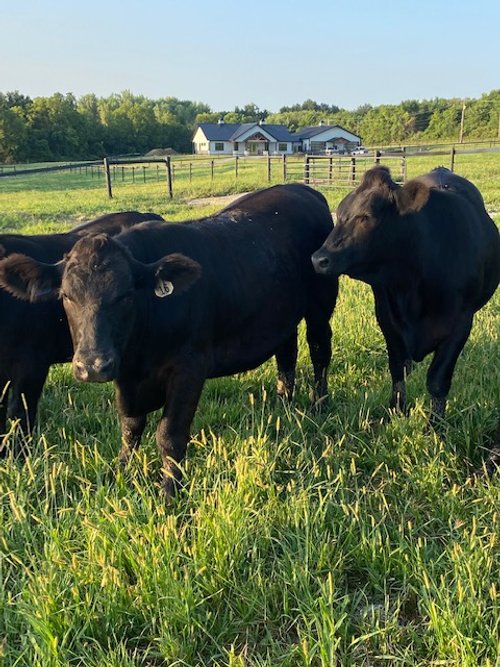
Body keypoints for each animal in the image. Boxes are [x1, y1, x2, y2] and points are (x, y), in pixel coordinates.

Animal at [312, 165, 500, 423]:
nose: (319, 259)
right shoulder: (387, 317)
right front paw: (396, 411)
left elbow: (438, 380)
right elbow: (397, 368)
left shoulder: (461, 323)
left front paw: (435, 425)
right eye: (339, 215)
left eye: (365, 216)